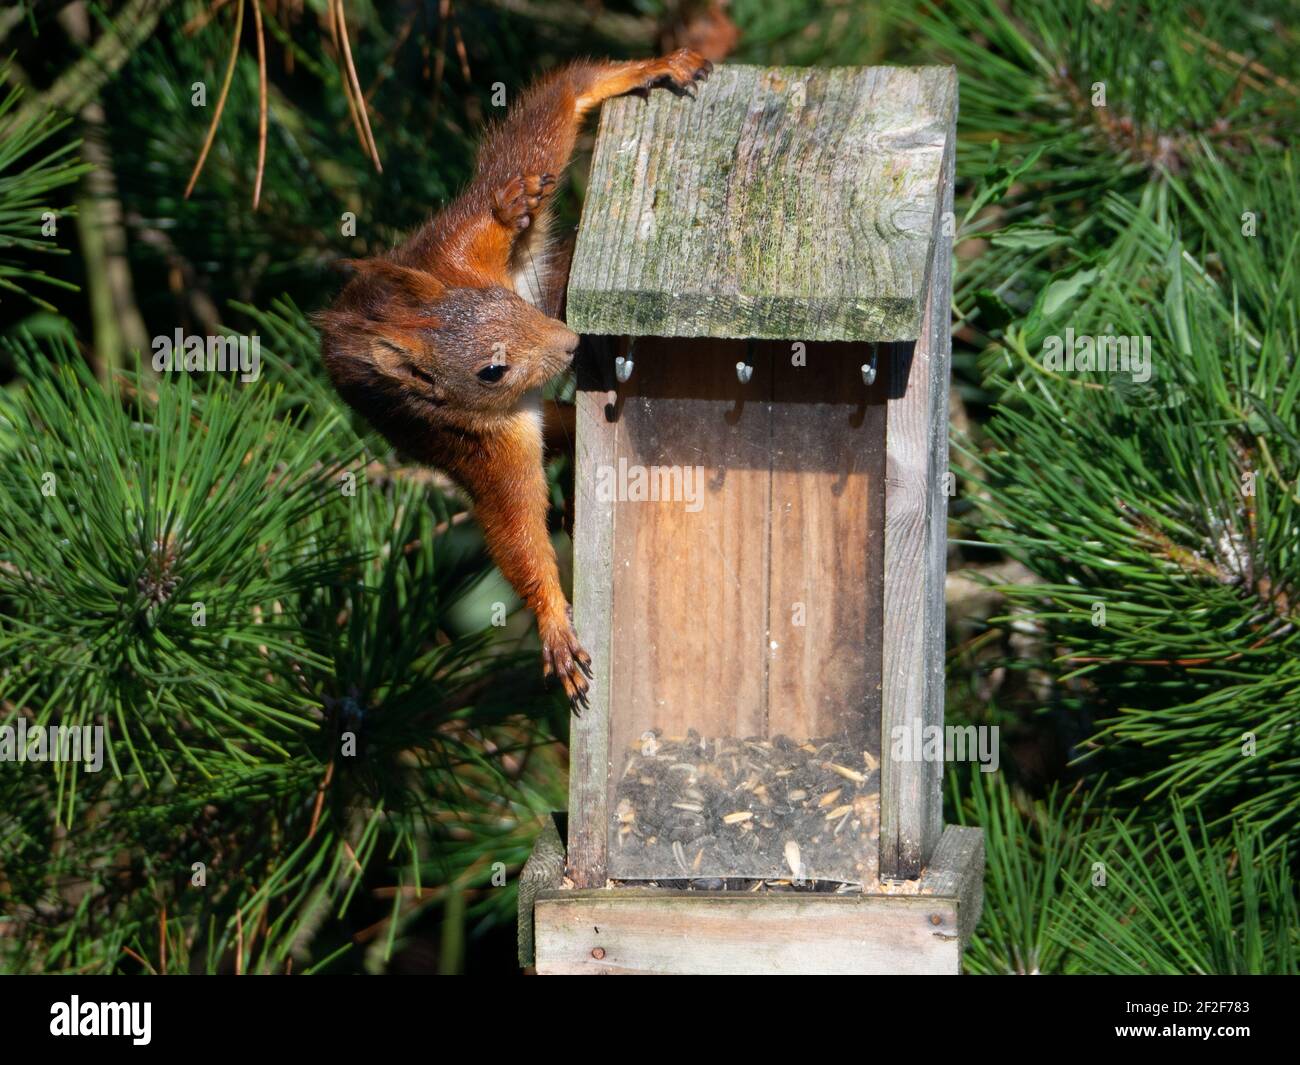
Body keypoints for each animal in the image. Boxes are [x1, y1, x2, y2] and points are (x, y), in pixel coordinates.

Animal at [318, 49, 713, 712]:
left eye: (505, 301)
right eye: (491, 371)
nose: (569, 343)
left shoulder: (463, 261)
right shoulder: (484, 451)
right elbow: (516, 530)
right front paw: (555, 624)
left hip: (447, 246)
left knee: (546, 121)